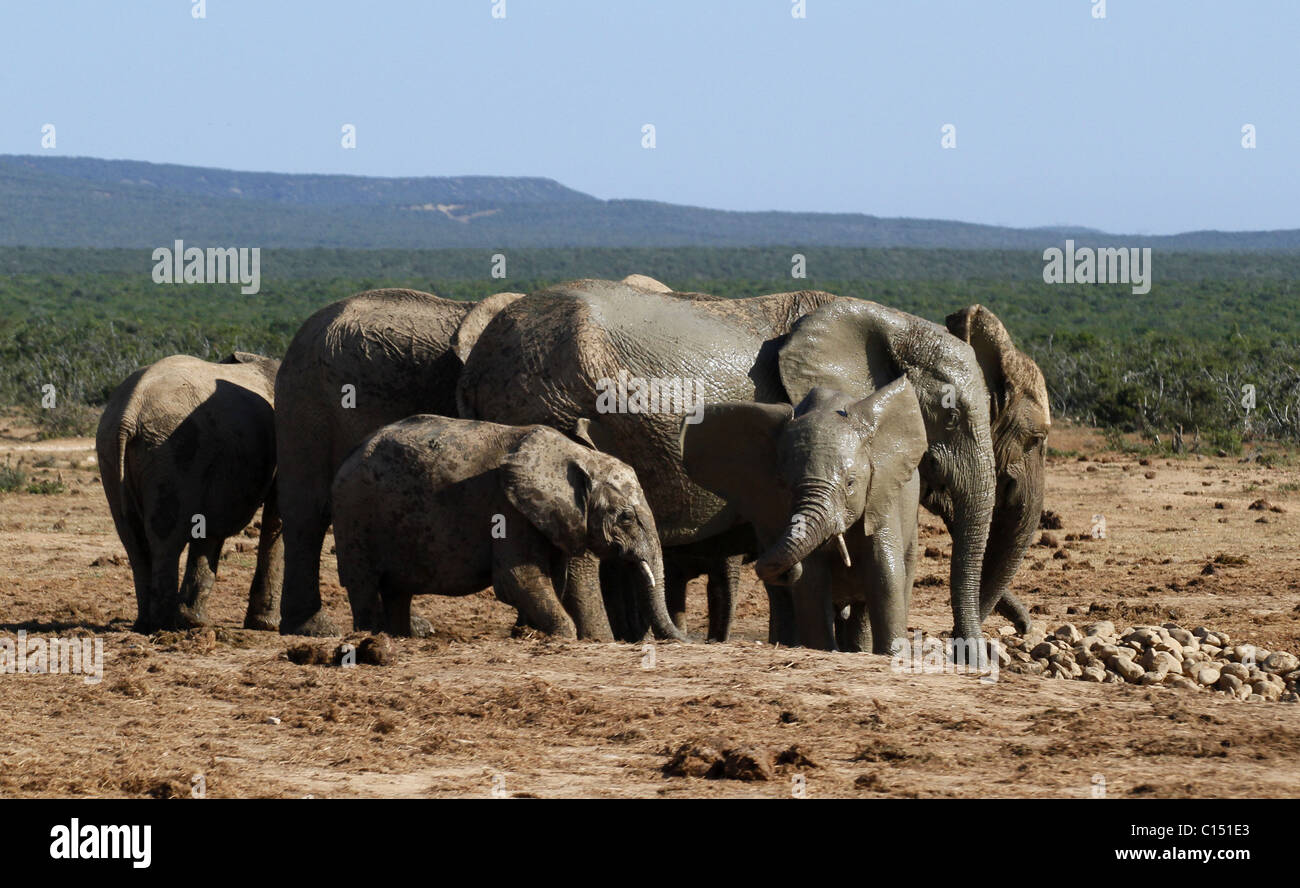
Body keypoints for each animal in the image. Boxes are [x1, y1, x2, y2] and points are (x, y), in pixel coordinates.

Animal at [95, 352, 282, 632]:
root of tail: (129, 409)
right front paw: (267, 626)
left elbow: (209, 527)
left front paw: (194, 620)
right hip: (172, 448)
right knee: (165, 537)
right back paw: (162, 624)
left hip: (113, 450)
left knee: (132, 537)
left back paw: (147, 624)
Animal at [330, 415, 684, 640]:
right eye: (626, 518)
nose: (690, 639)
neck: (576, 456)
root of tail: (349, 455)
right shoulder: (508, 510)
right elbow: (517, 580)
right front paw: (562, 635)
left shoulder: (548, 519)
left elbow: (551, 580)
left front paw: (527, 633)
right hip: (353, 516)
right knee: (363, 584)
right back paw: (370, 636)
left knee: (397, 592)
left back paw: (400, 637)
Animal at [681, 379, 926, 651]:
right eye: (782, 485)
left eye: (851, 483)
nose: (788, 569)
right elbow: (811, 581)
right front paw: (825, 650)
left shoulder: (881, 493)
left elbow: (885, 572)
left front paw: (892, 654)